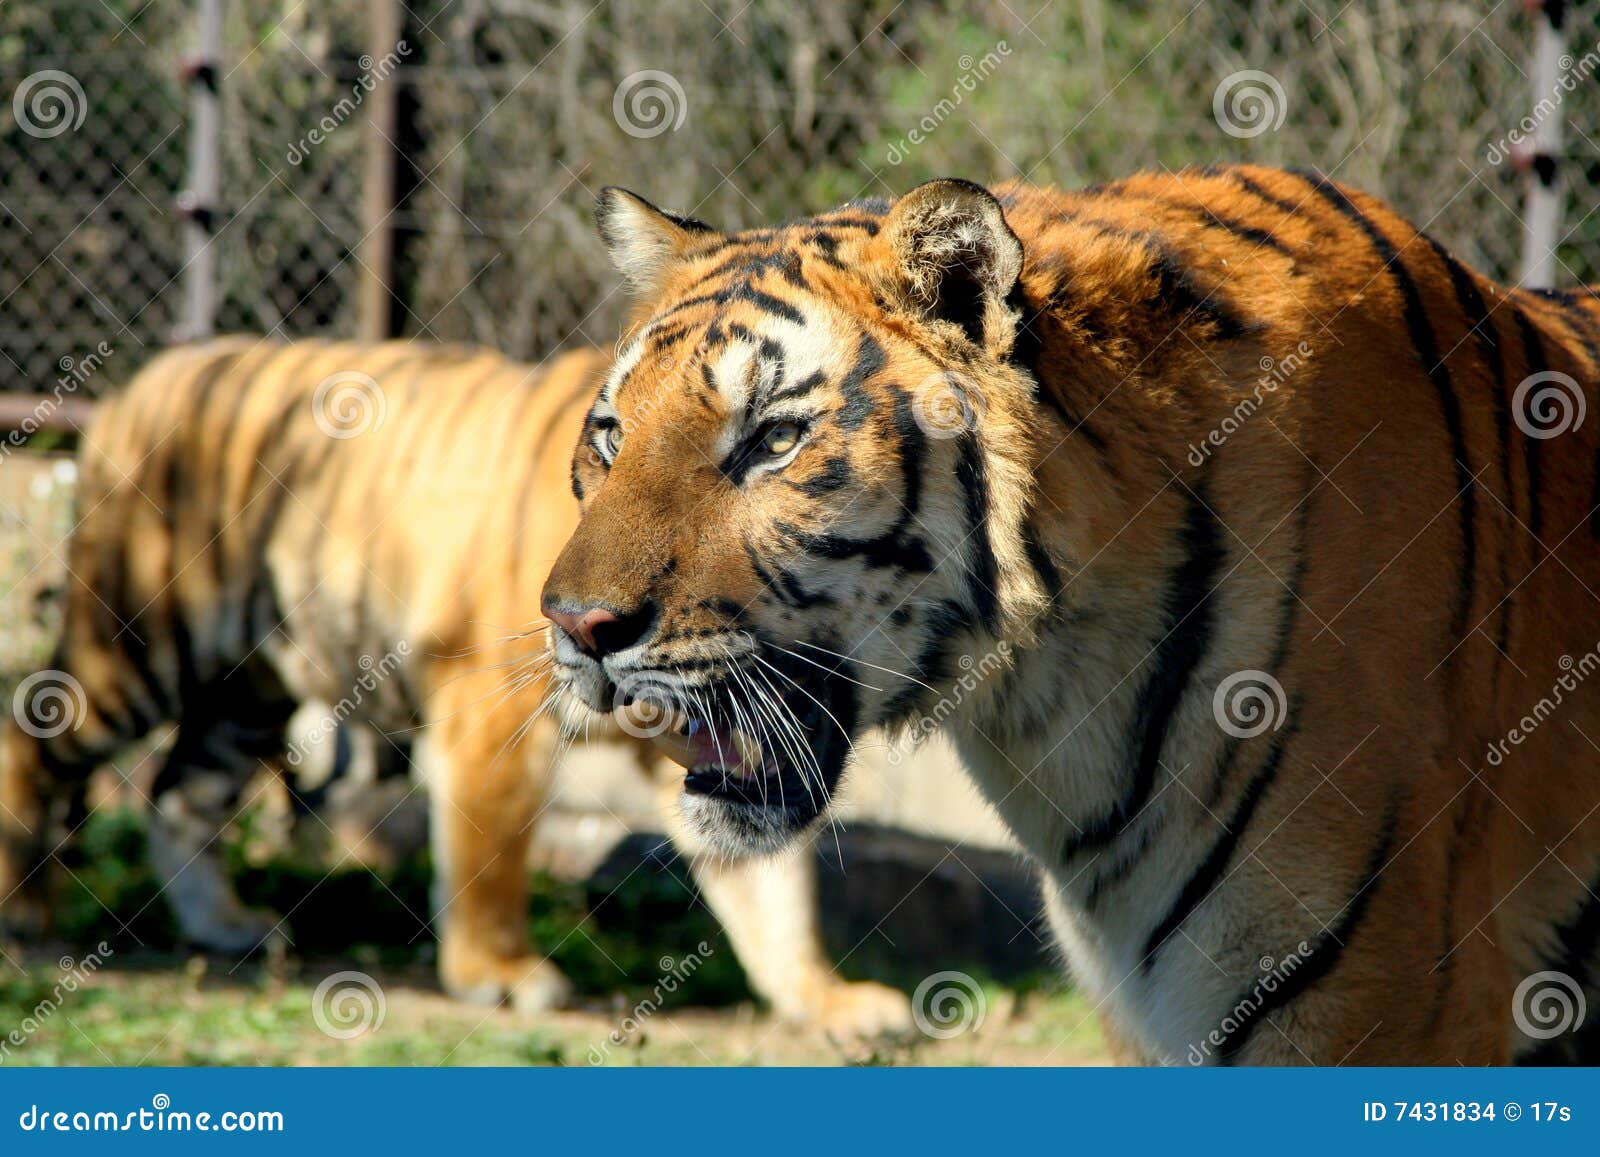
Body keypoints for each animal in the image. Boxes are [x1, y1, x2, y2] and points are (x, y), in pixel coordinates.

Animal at [0, 338, 911, 1038]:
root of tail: (143, 378)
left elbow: (771, 885)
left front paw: (830, 1001)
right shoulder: (493, 700)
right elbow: (490, 847)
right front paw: (500, 973)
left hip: (248, 687)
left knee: (179, 792)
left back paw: (226, 927)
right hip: (138, 641)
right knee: (35, 738)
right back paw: (23, 911)